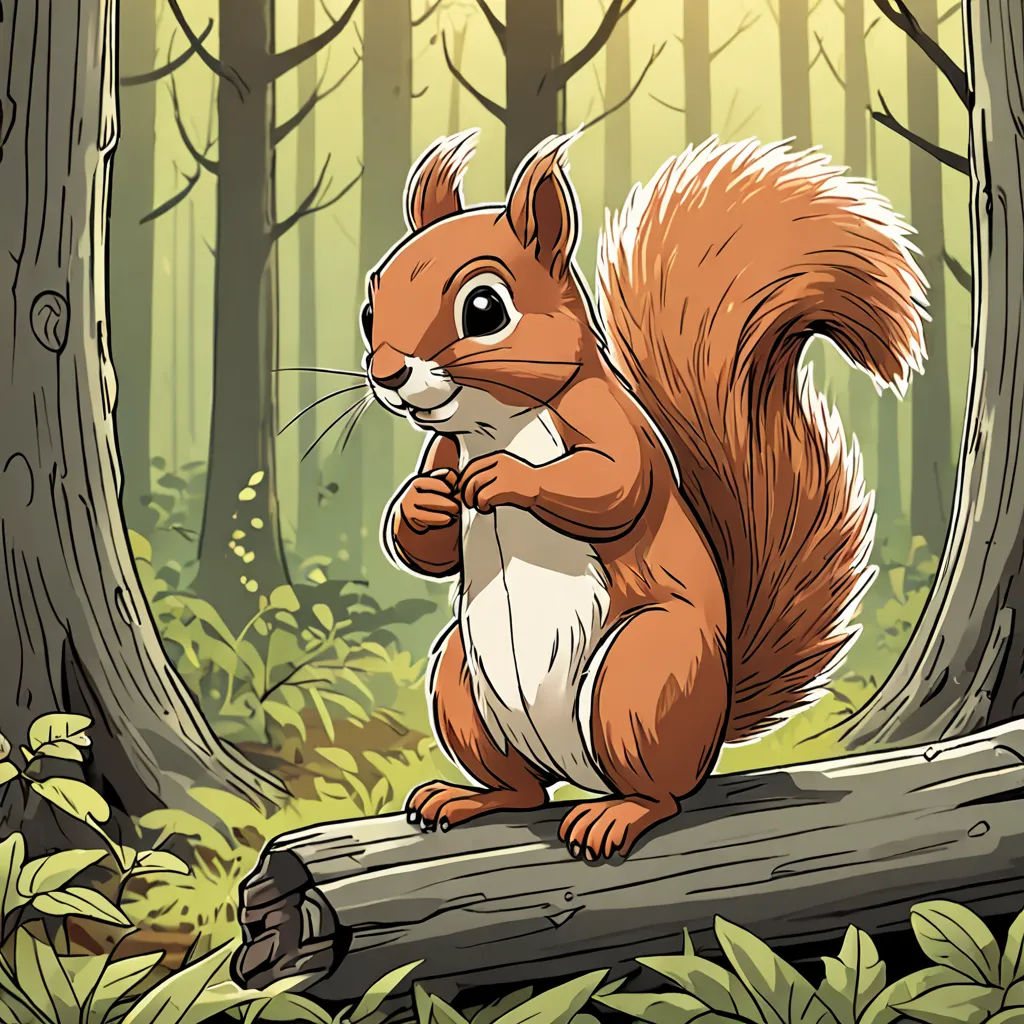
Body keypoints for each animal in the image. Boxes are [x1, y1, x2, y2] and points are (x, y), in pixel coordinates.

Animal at [361, 128, 926, 861]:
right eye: (370, 306)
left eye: (484, 309)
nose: (386, 373)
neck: (492, 425)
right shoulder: (443, 450)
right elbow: (427, 552)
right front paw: (422, 504)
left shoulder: (612, 423)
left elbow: (614, 487)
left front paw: (504, 479)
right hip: (462, 682)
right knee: (525, 790)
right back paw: (466, 798)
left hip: (640, 677)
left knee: (662, 794)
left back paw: (614, 817)